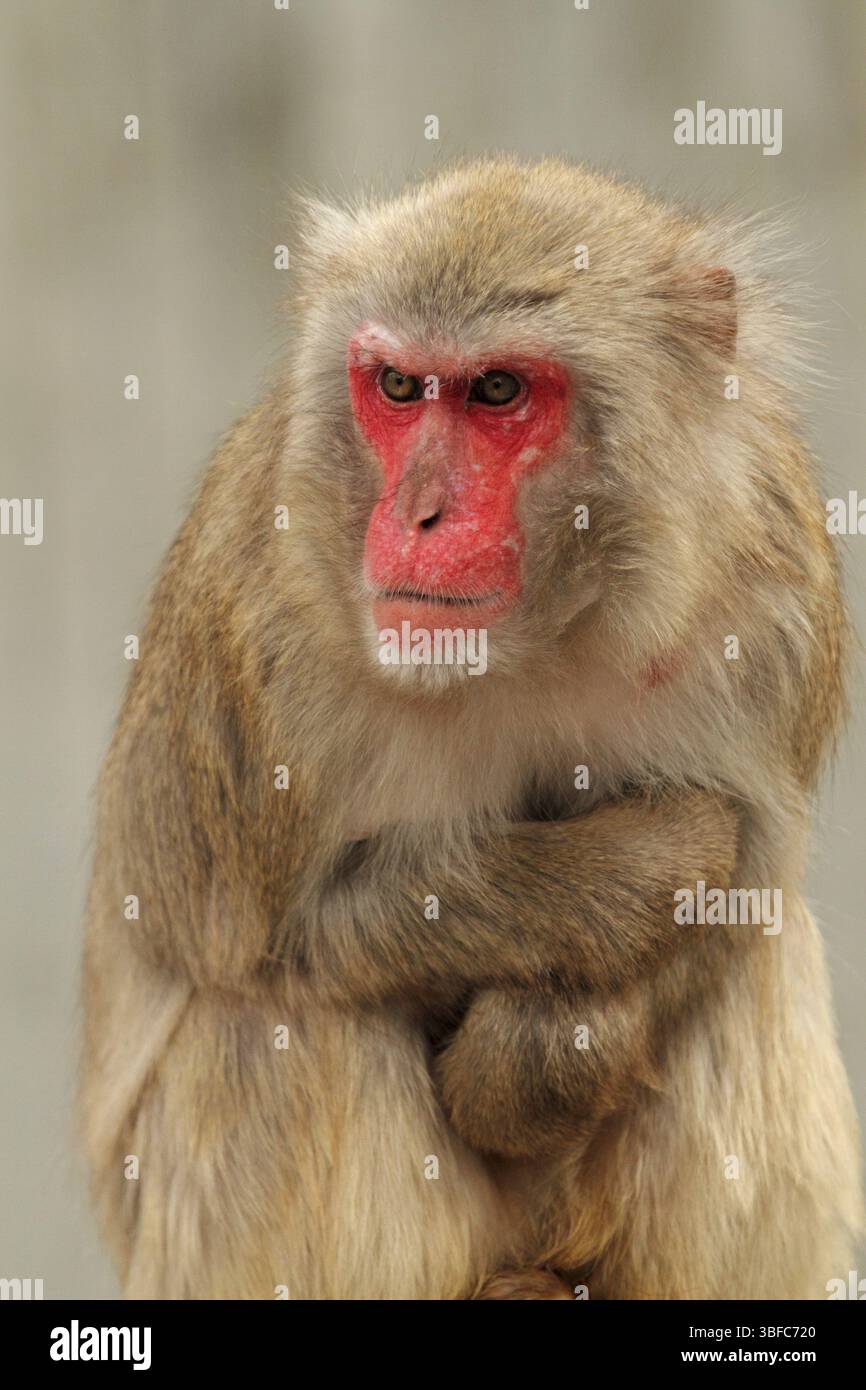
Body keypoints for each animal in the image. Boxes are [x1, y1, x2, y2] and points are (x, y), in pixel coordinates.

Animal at [81, 156, 862, 1300]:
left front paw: (538, 1057)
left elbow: (741, 897)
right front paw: (630, 873)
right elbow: (282, 937)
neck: (537, 633)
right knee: (290, 1023)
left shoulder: (772, 599)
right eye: (399, 388)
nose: (416, 517)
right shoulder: (261, 630)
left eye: (497, 390)